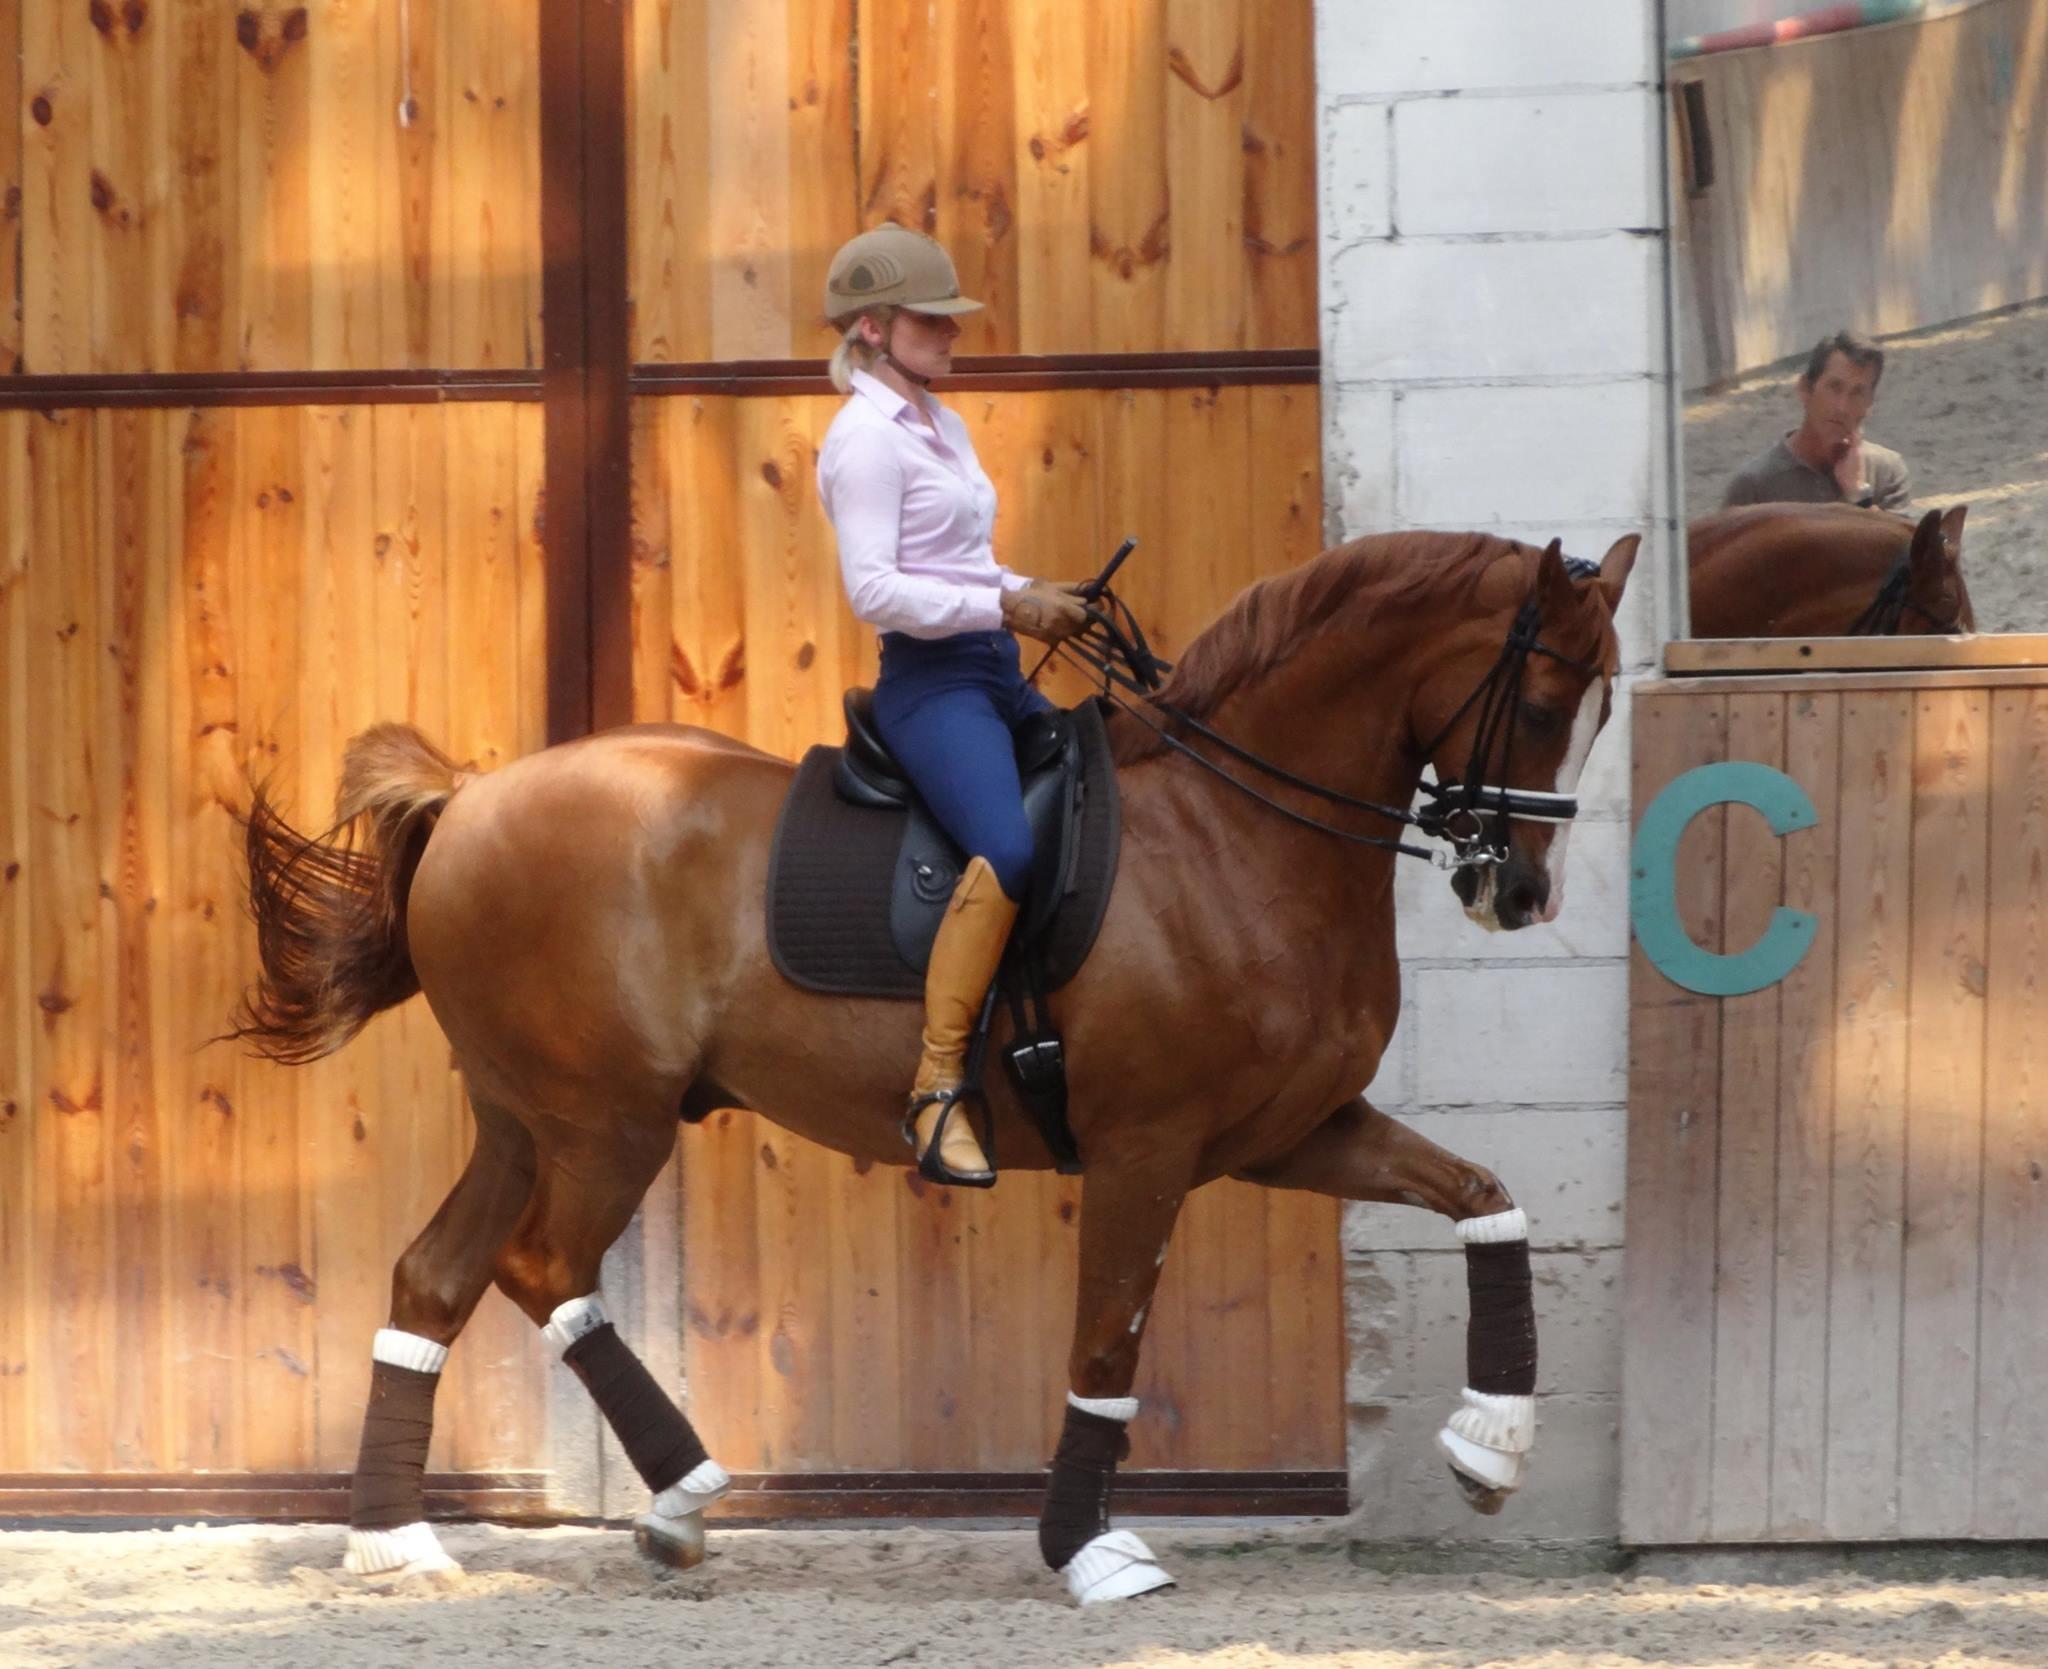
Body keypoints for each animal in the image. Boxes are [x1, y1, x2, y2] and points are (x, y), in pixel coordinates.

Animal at [231, 528, 1639, 1603]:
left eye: (1601, 704)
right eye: (1543, 701)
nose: (1515, 892)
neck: (1233, 834)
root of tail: (468, 793)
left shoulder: (1291, 1131)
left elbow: (1485, 1198)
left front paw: (1490, 1445)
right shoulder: (1147, 1147)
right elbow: (1106, 1346)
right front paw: (1086, 1551)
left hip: (524, 1118)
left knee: (433, 1280)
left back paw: (396, 1541)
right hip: (607, 1121)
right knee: (540, 1269)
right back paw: (680, 1489)